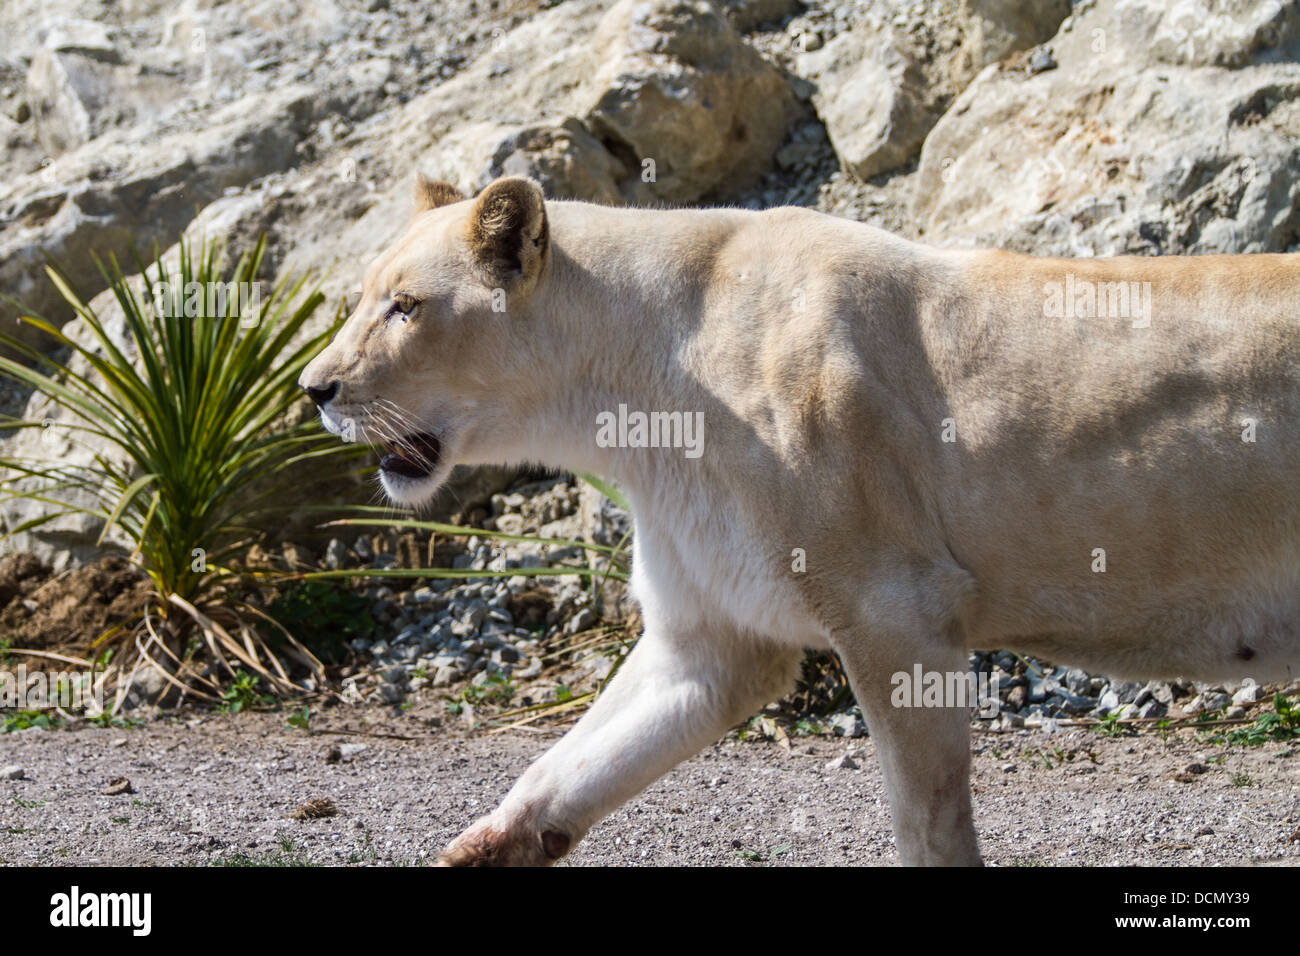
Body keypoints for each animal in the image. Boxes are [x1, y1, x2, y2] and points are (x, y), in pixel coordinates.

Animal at [300, 173, 1300, 865]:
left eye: (405, 307)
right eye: (362, 298)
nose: (314, 388)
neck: (629, 402)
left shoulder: (897, 610)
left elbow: (926, 823)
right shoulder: (712, 640)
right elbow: (554, 778)